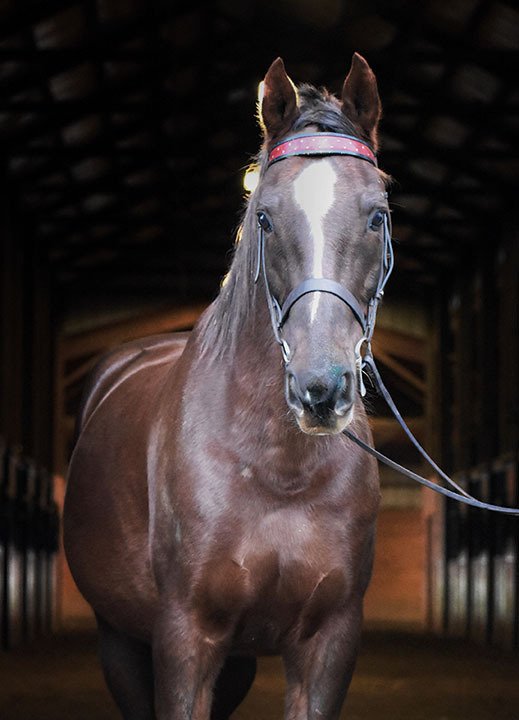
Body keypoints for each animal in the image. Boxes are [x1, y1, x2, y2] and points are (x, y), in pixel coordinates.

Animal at [64, 52, 391, 720]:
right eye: (263, 216)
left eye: (377, 214)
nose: (321, 390)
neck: (277, 470)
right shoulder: (185, 636)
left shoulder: (329, 643)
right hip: (120, 640)